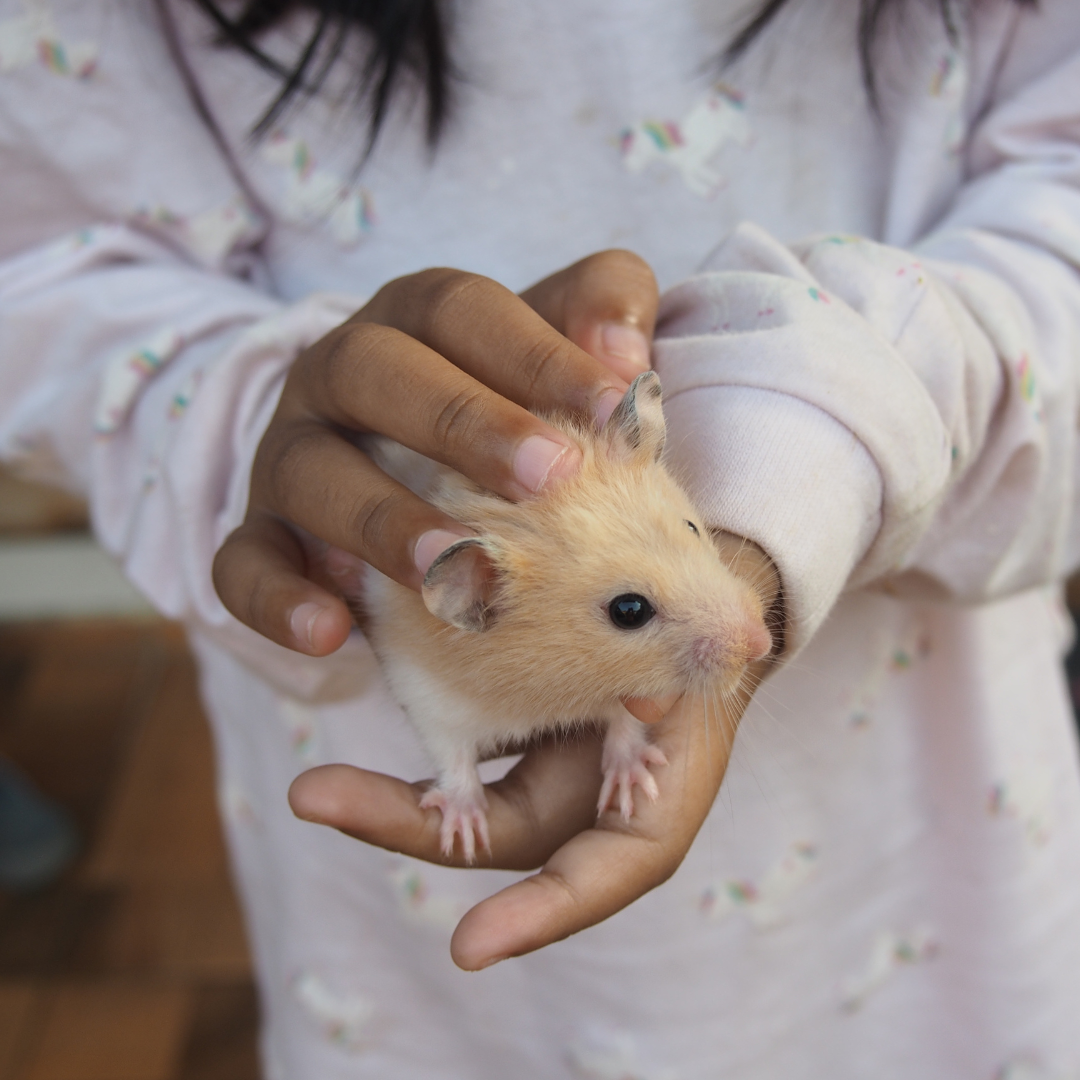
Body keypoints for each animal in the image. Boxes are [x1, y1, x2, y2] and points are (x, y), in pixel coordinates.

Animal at [361, 372, 773, 862]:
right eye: (629, 611)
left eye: (691, 527)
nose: (763, 643)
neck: (557, 689)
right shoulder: (425, 693)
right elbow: (451, 755)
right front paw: (464, 835)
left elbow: (627, 722)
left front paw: (633, 785)